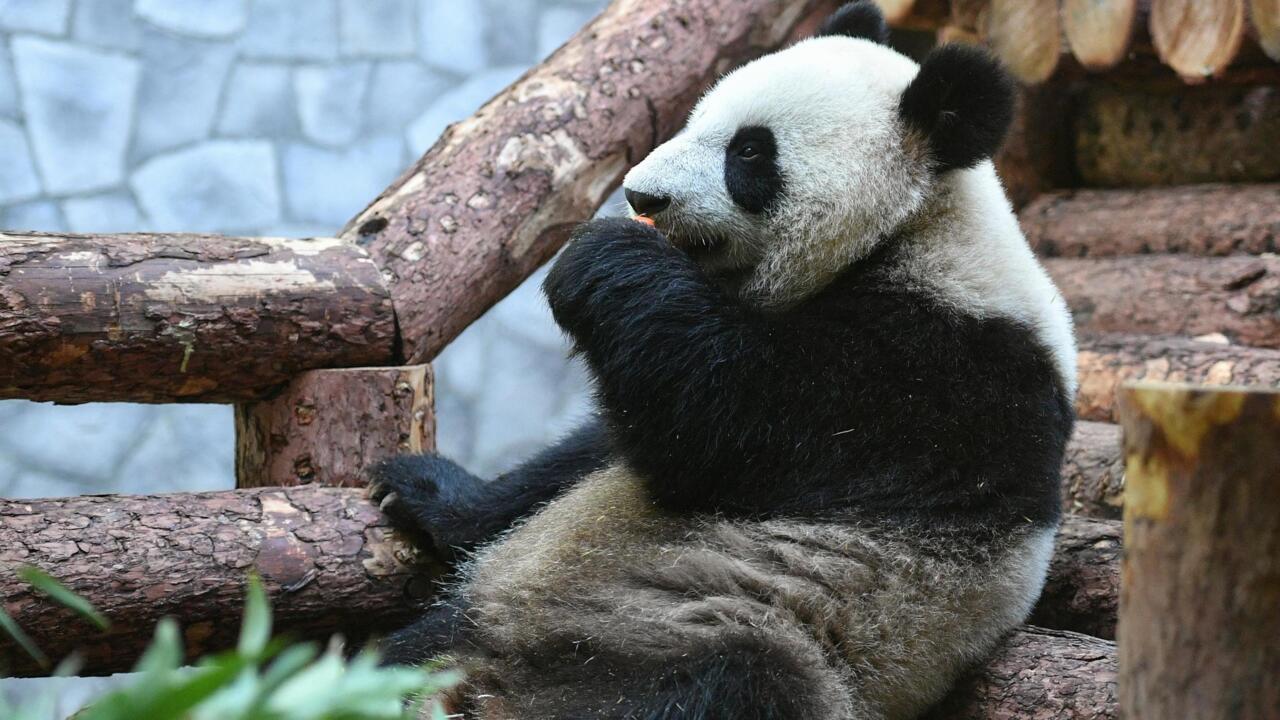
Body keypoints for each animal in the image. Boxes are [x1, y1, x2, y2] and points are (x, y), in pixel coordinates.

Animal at [369, 2, 1077, 718]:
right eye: (694, 117)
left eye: (750, 151)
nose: (641, 196)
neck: (914, 229)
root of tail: (492, 682)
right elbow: (591, 453)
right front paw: (434, 493)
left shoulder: (941, 375)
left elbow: (724, 426)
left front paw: (602, 254)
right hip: (489, 607)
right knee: (407, 646)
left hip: (721, 631)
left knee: (719, 680)